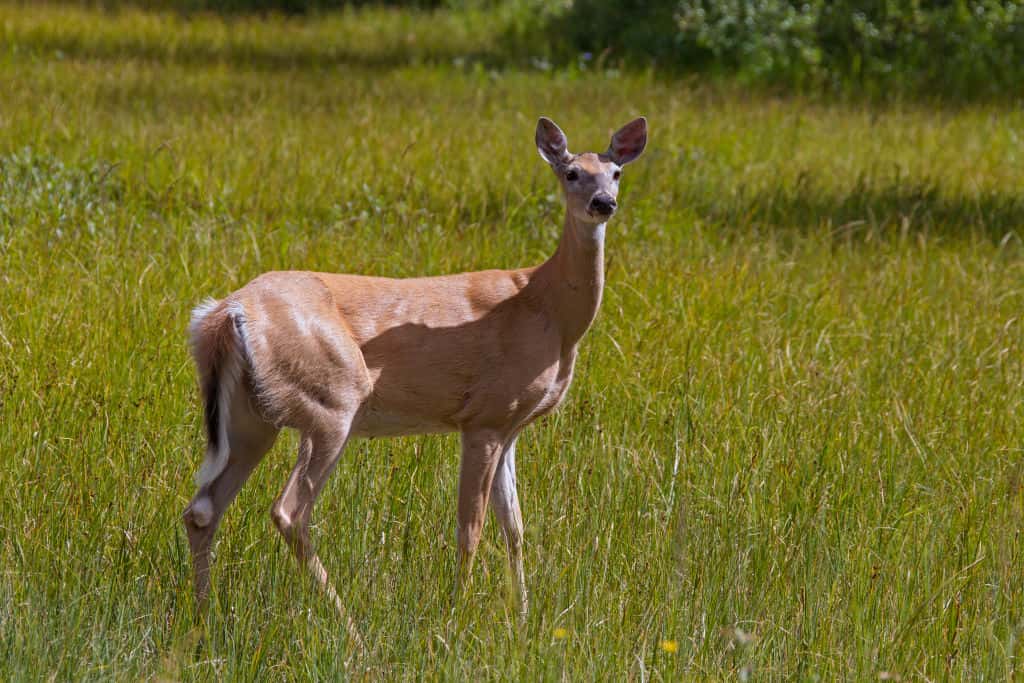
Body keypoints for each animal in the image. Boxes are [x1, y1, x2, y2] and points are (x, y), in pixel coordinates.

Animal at [182, 116, 648, 640]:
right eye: (571, 172)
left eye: (615, 173)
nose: (603, 203)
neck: (547, 309)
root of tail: (224, 314)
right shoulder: (484, 416)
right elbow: (471, 527)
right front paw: (457, 616)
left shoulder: (511, 426)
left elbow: (516, 528)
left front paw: (524, 618)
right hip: (332, 399)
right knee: (289, 511)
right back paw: (352, 631)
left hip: (251, 416)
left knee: (202, 510)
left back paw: (202, 619)